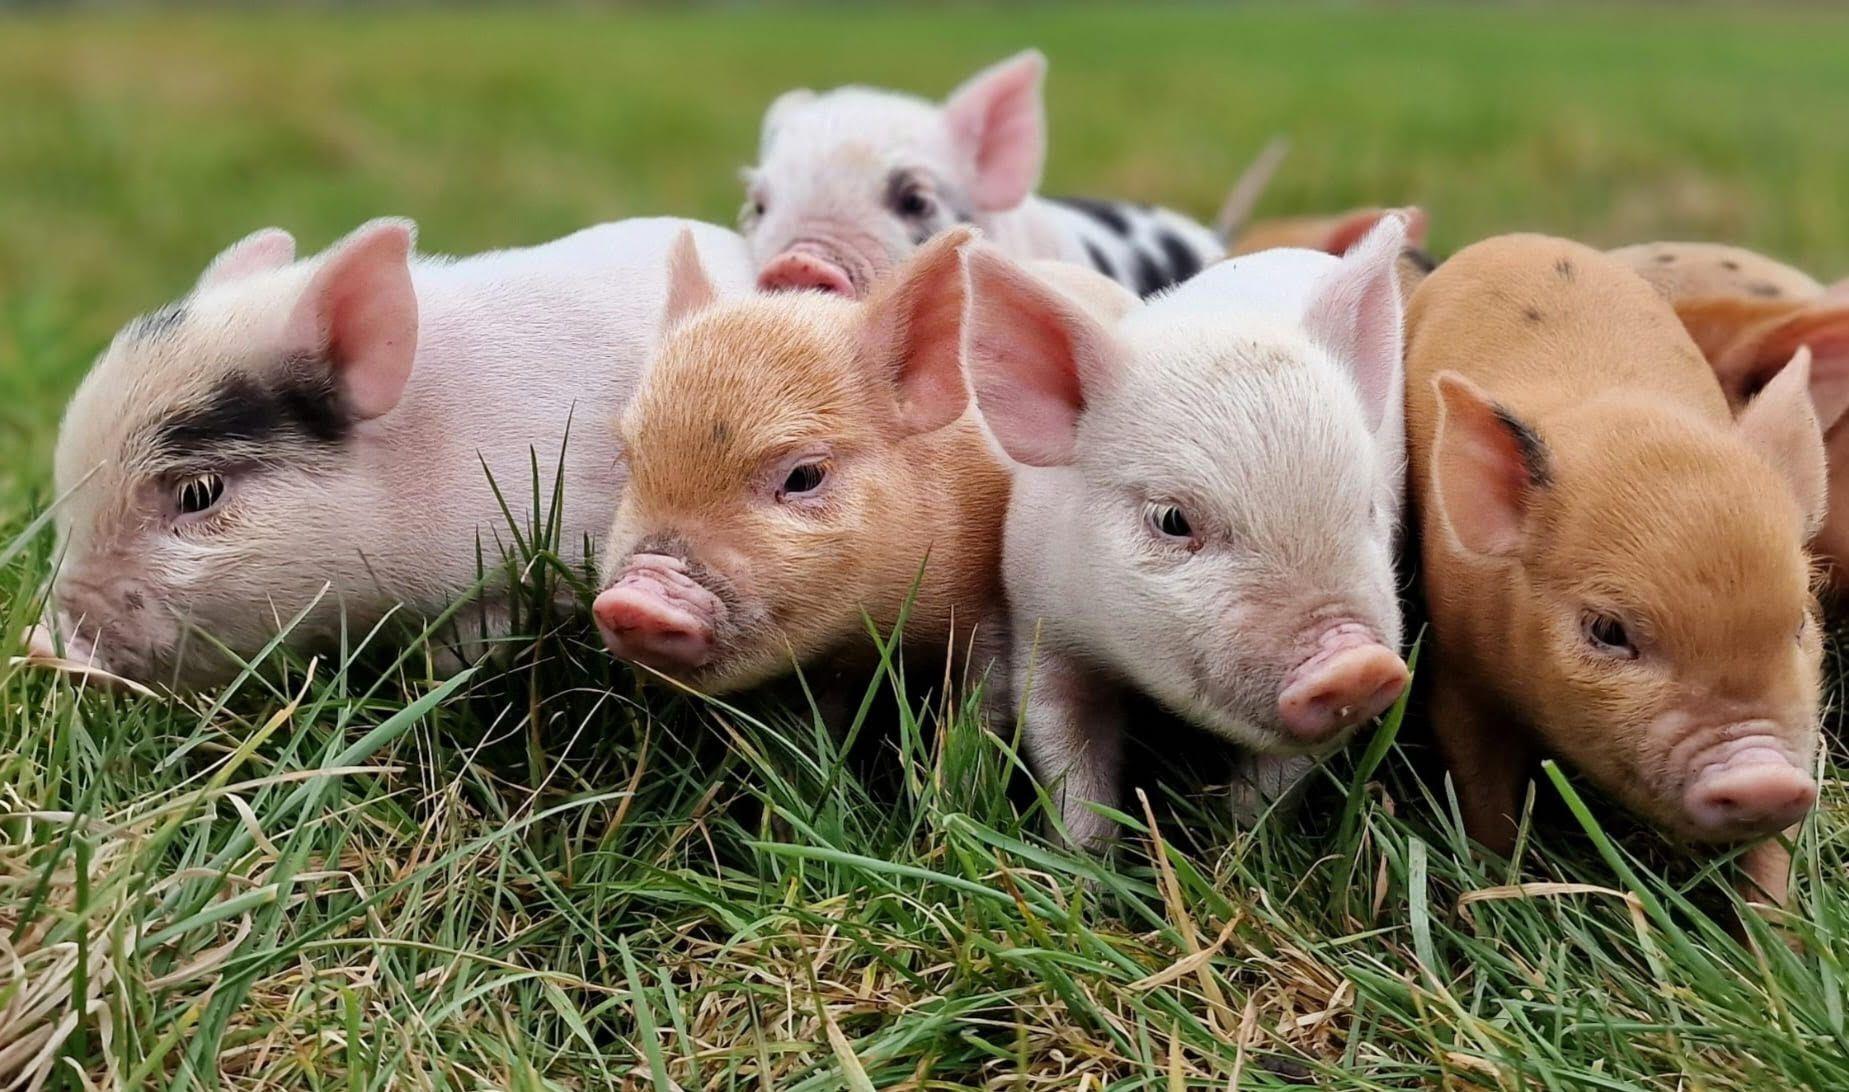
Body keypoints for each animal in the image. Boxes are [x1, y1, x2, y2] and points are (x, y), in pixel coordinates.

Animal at [963, 217, 1413, 849]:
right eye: (1173, 520)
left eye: (1368, 507)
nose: (1356, 663)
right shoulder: (1041, 621)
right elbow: (1065, 748)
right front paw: (1082, 859)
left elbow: (1278, 781)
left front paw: (1244, 848)